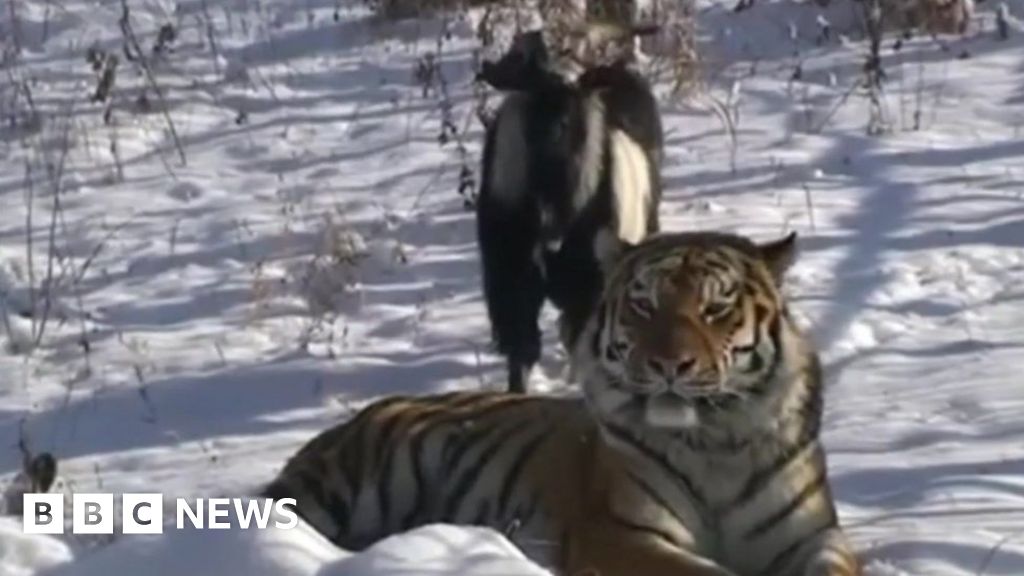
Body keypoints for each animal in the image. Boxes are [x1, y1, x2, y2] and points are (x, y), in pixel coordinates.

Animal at [261, 230, 861, 576]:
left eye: (715, 310)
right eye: (644, 306)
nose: (670, 365)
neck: (716, 442)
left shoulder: (815, 533)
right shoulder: (618, 531)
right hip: (338, 487)